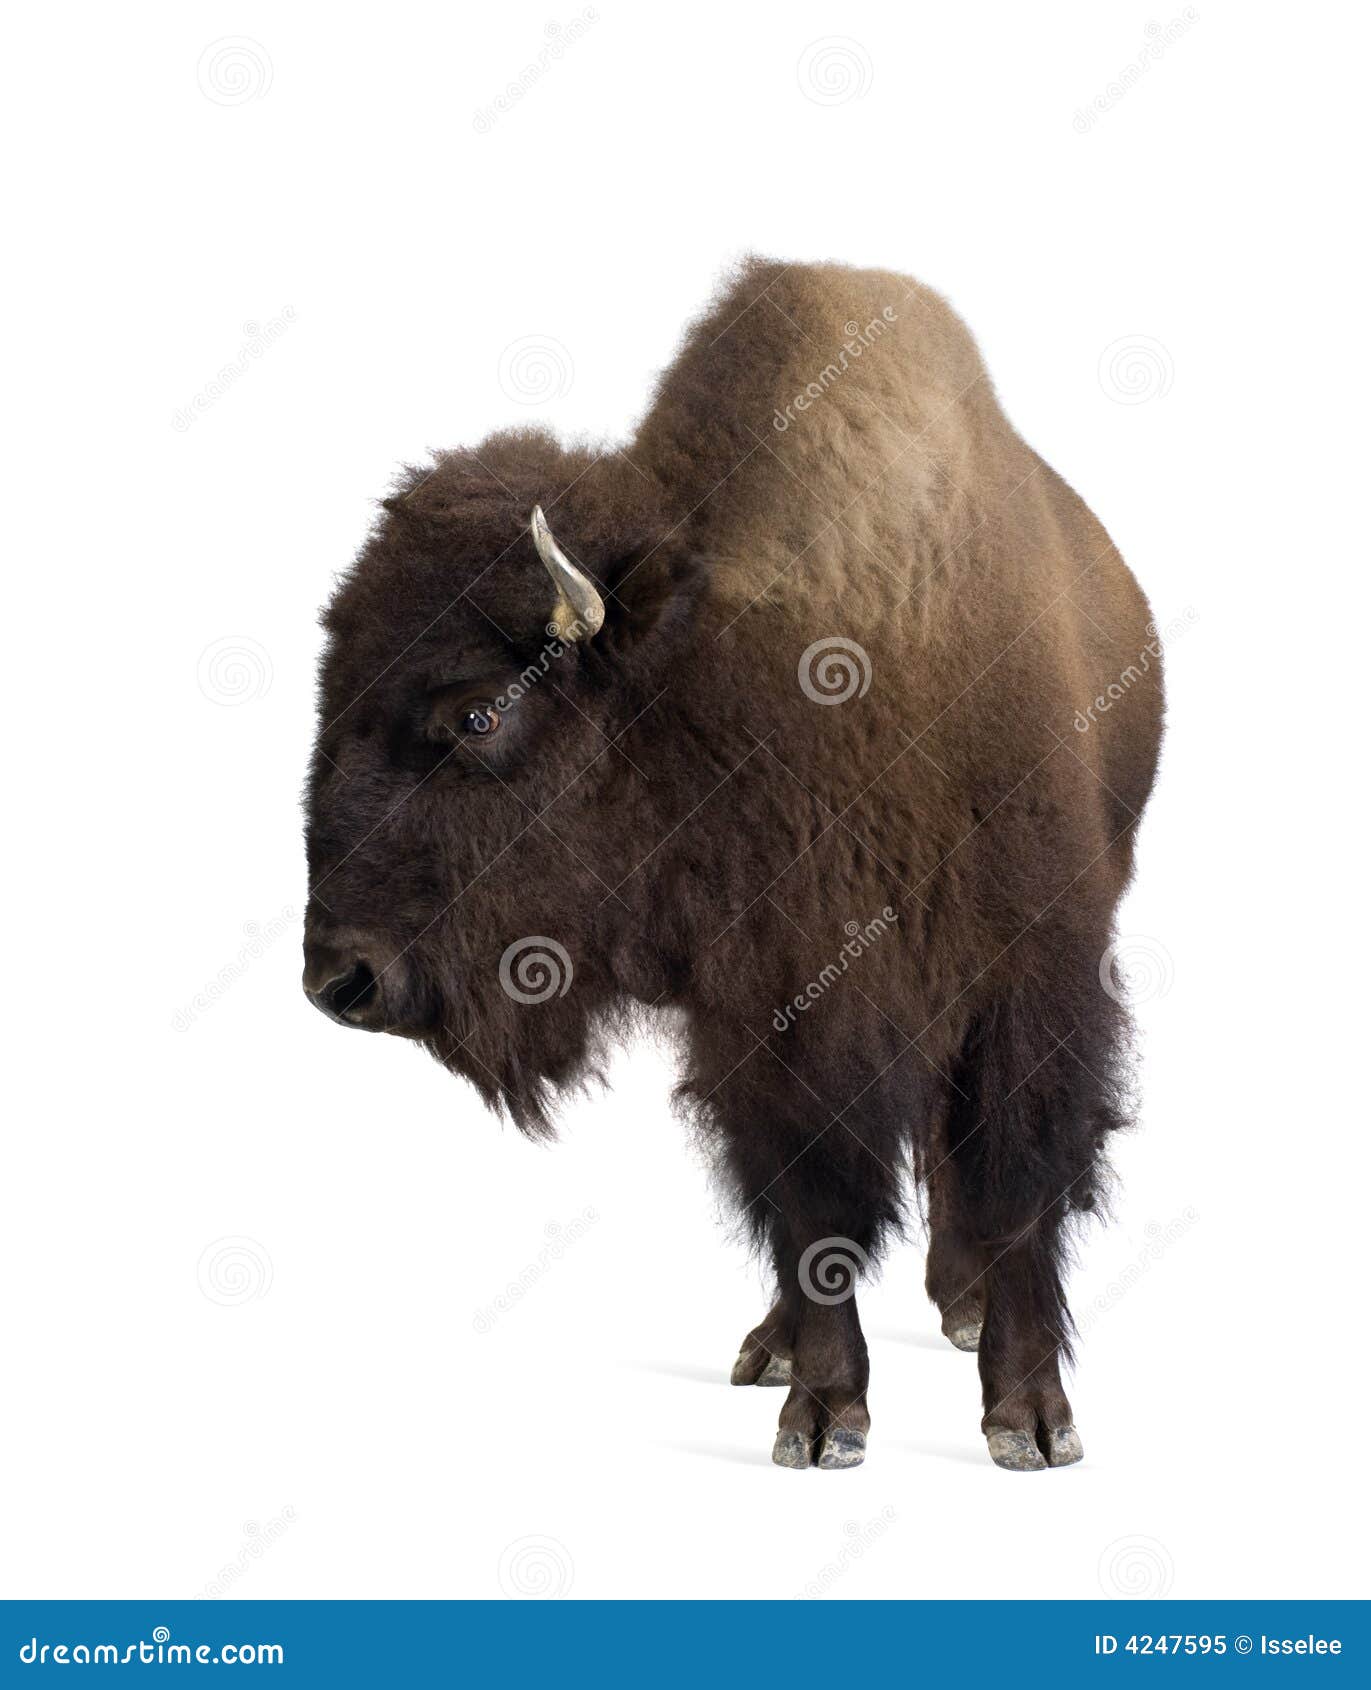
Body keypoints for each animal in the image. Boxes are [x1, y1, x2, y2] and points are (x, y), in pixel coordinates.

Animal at [303, 258, 1164, 1471]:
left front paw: (1031, 1419)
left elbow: (1018, 1180)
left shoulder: (1028, 975)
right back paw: (773, 1346)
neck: (737, 678)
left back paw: (960, 1309)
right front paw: (823, 1415)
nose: (340, 978)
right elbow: (808, 1202)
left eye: (476, 713)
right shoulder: (765, 1009)